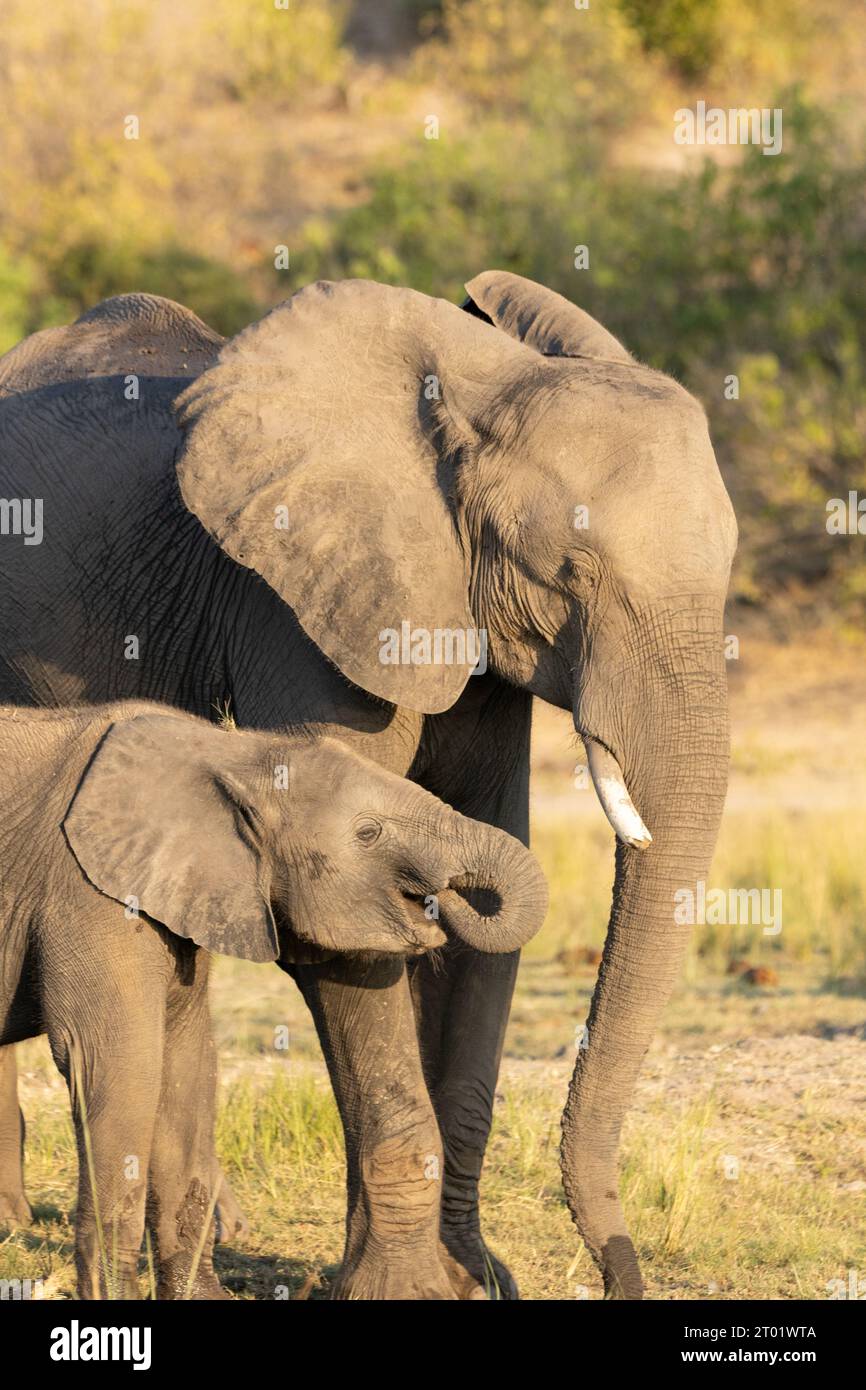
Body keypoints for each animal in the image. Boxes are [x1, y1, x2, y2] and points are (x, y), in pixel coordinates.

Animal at [0, 700, 547, 1298]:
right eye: (369, 832)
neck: (235, 753)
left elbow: (188, 1066)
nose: (441, 900)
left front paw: (201, 1298)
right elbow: (116, 1063)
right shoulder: (85, 890)